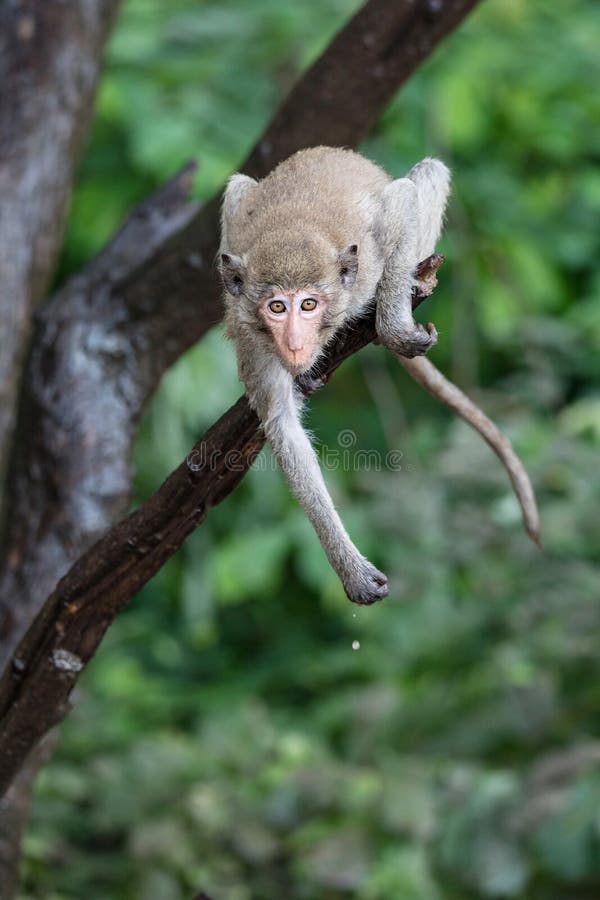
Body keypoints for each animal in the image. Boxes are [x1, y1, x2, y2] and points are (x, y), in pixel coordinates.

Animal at [219, 146, 539, 605]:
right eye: (277, 307)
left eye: (308, 305)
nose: (295, 344)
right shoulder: (252, 336)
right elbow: (283, 425)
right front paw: (350, 569)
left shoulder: (367, 261)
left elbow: (402, 200)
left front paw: (392, 327)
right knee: (237, 188)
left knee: (427, 173)